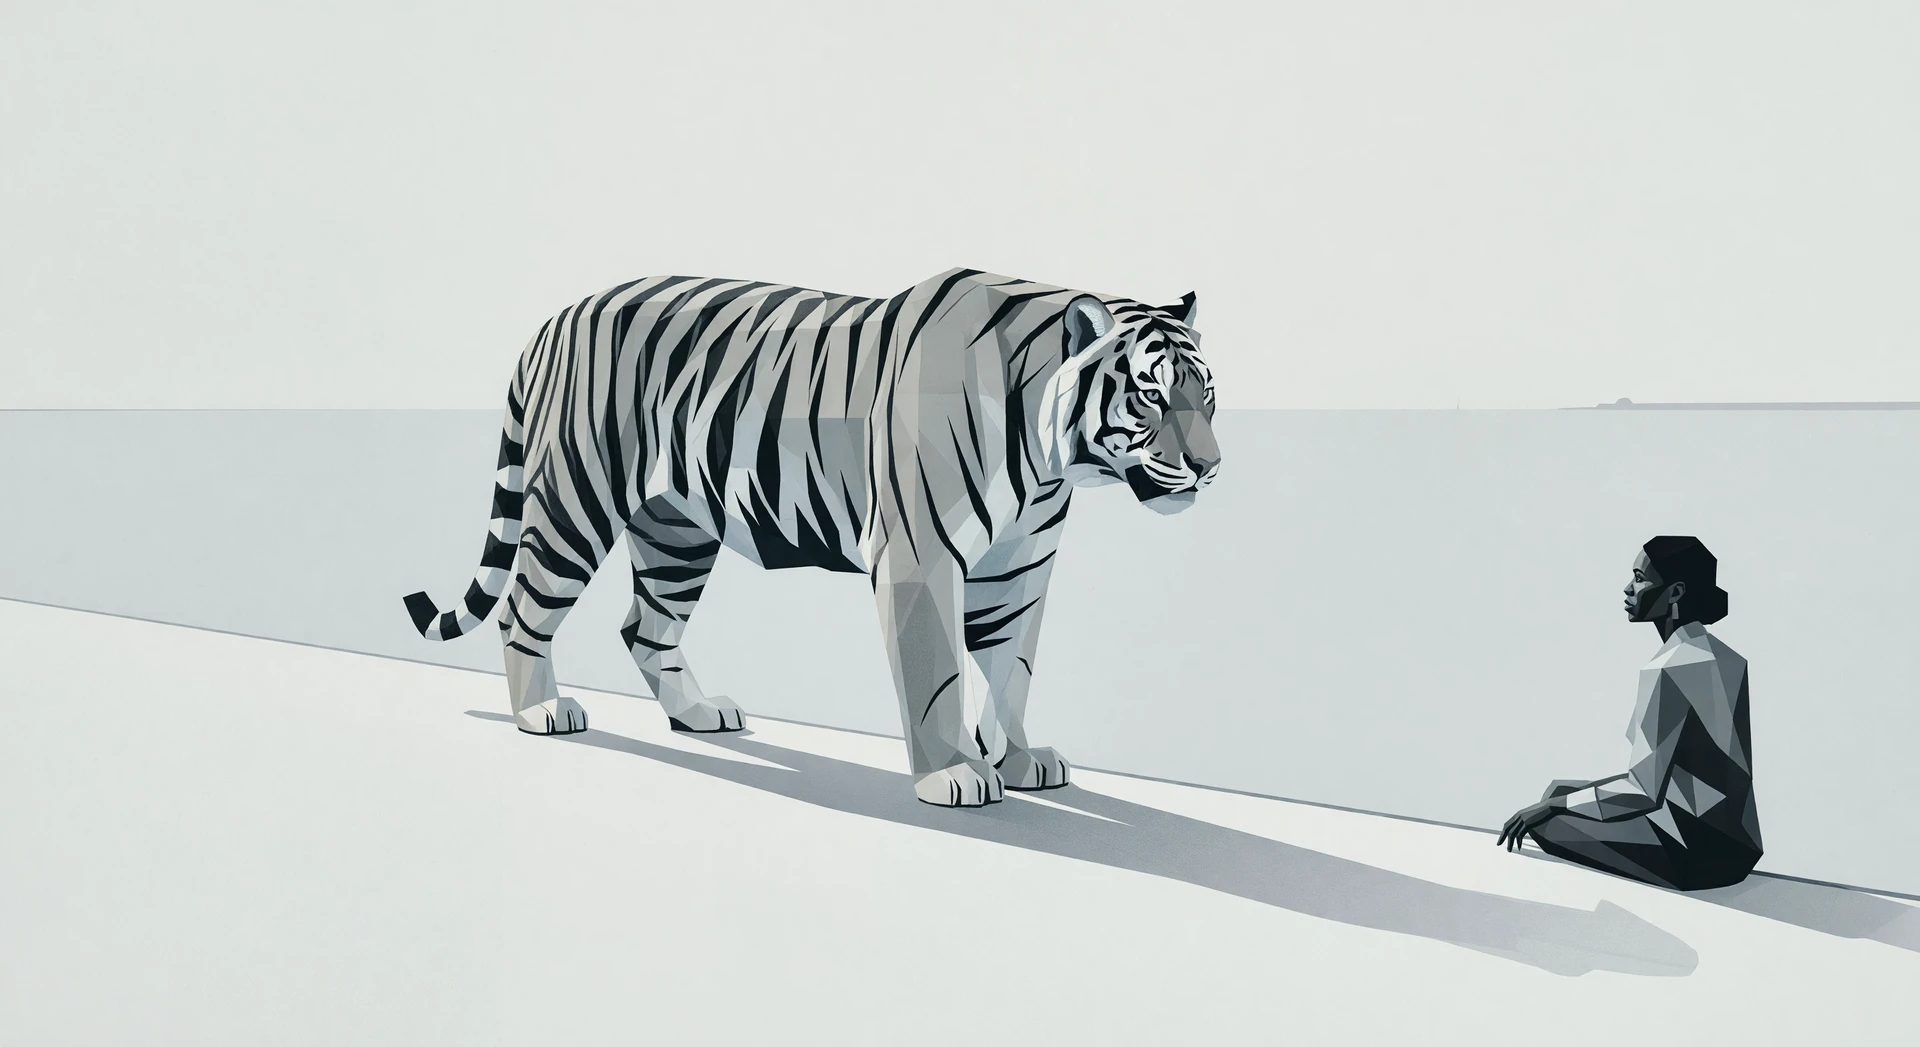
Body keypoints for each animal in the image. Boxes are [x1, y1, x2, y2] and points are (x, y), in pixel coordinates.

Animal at [404, 267, 1221, 807]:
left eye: (1205, 392)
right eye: (1151, 393)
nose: (1210, 466)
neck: (1053, 459)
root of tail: (559, 314)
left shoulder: (1019, 567)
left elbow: (1012, 669)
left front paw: (1019, 759)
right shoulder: (923, 559)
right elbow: (939, 676)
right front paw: (953, 773)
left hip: (676, 530)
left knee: (644, 626)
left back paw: (697, 714)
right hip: (578, 498)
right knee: (524, 607)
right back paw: (541, 713)